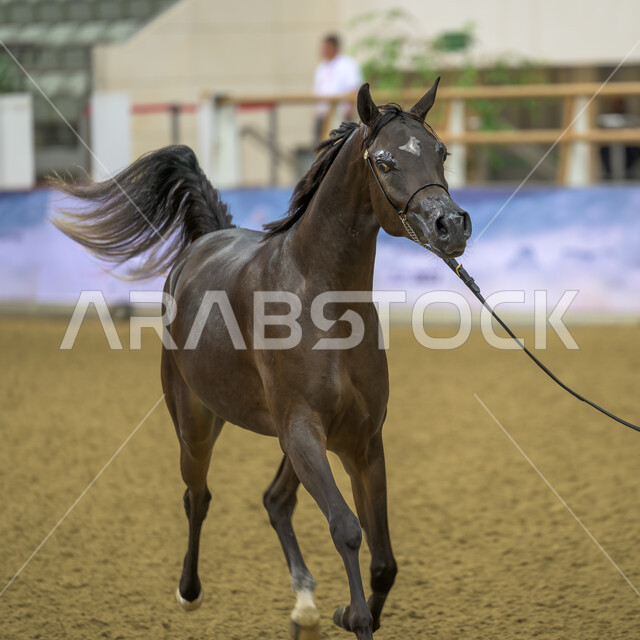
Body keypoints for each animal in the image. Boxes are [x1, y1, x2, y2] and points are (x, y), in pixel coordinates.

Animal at [53, 79, 471, 640]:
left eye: (440, 152)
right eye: (384, 161)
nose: (451, 226)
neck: (321, 299)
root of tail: (205, 239)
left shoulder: (360, 440)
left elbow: (384, 560)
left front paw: (344, 613)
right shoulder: (304, 431)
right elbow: (346, 528)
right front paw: (354, 616)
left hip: (295, 439)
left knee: (275, 500)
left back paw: (305, 606)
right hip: (198, 423)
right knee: (198, 496)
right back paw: (190, 592)